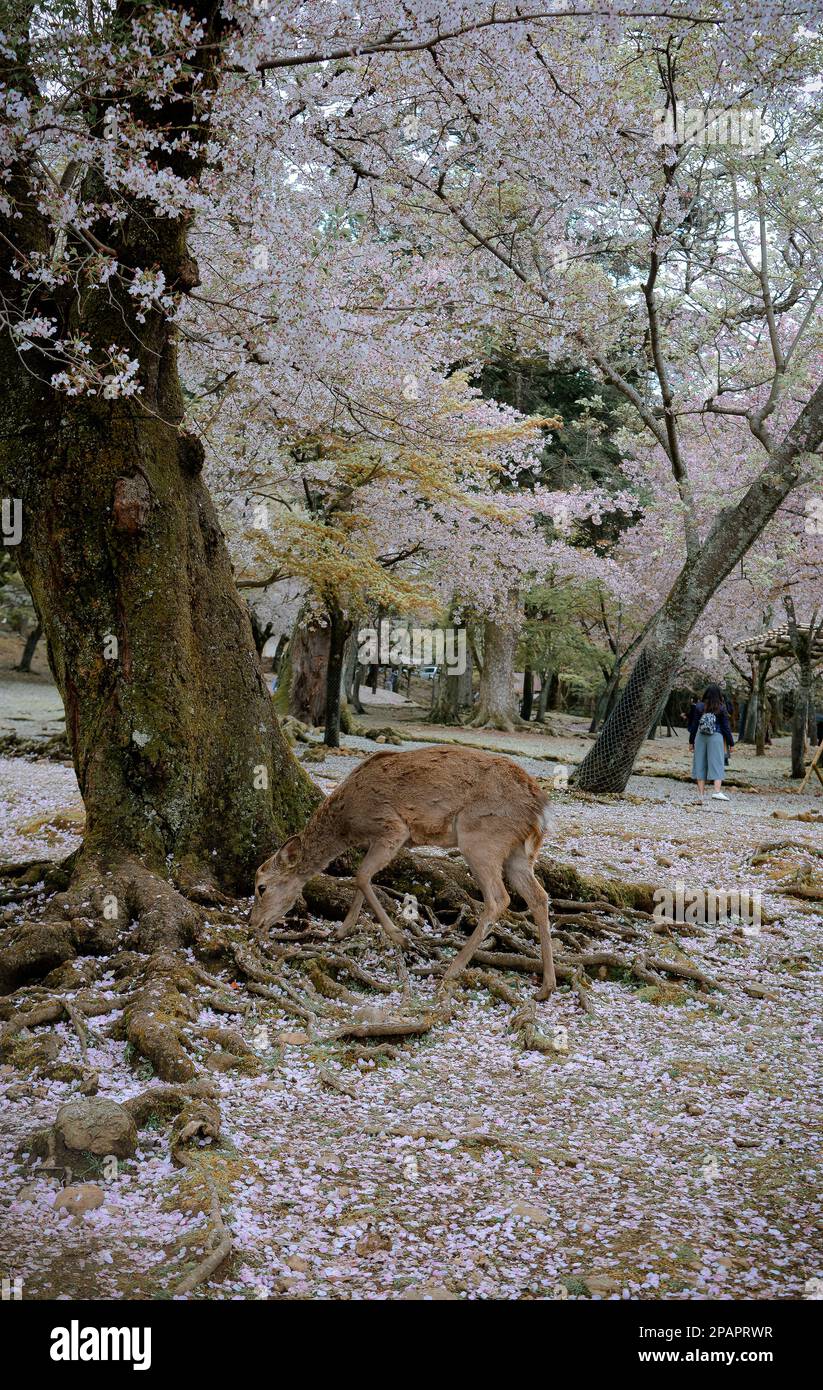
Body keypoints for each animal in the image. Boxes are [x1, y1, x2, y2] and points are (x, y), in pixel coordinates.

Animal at [249, 745, 556, 998]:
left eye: (261, 887)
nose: (253, 922)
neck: (348, 823)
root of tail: (540, 808)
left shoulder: (392, 827)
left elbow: (361, 876)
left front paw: (401, 938)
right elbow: (362, 878)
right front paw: (341, 931)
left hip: (481, 838)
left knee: (499, 899)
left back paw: (453, 969)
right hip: (518, 853)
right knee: (539, 896)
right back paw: (546, 986)